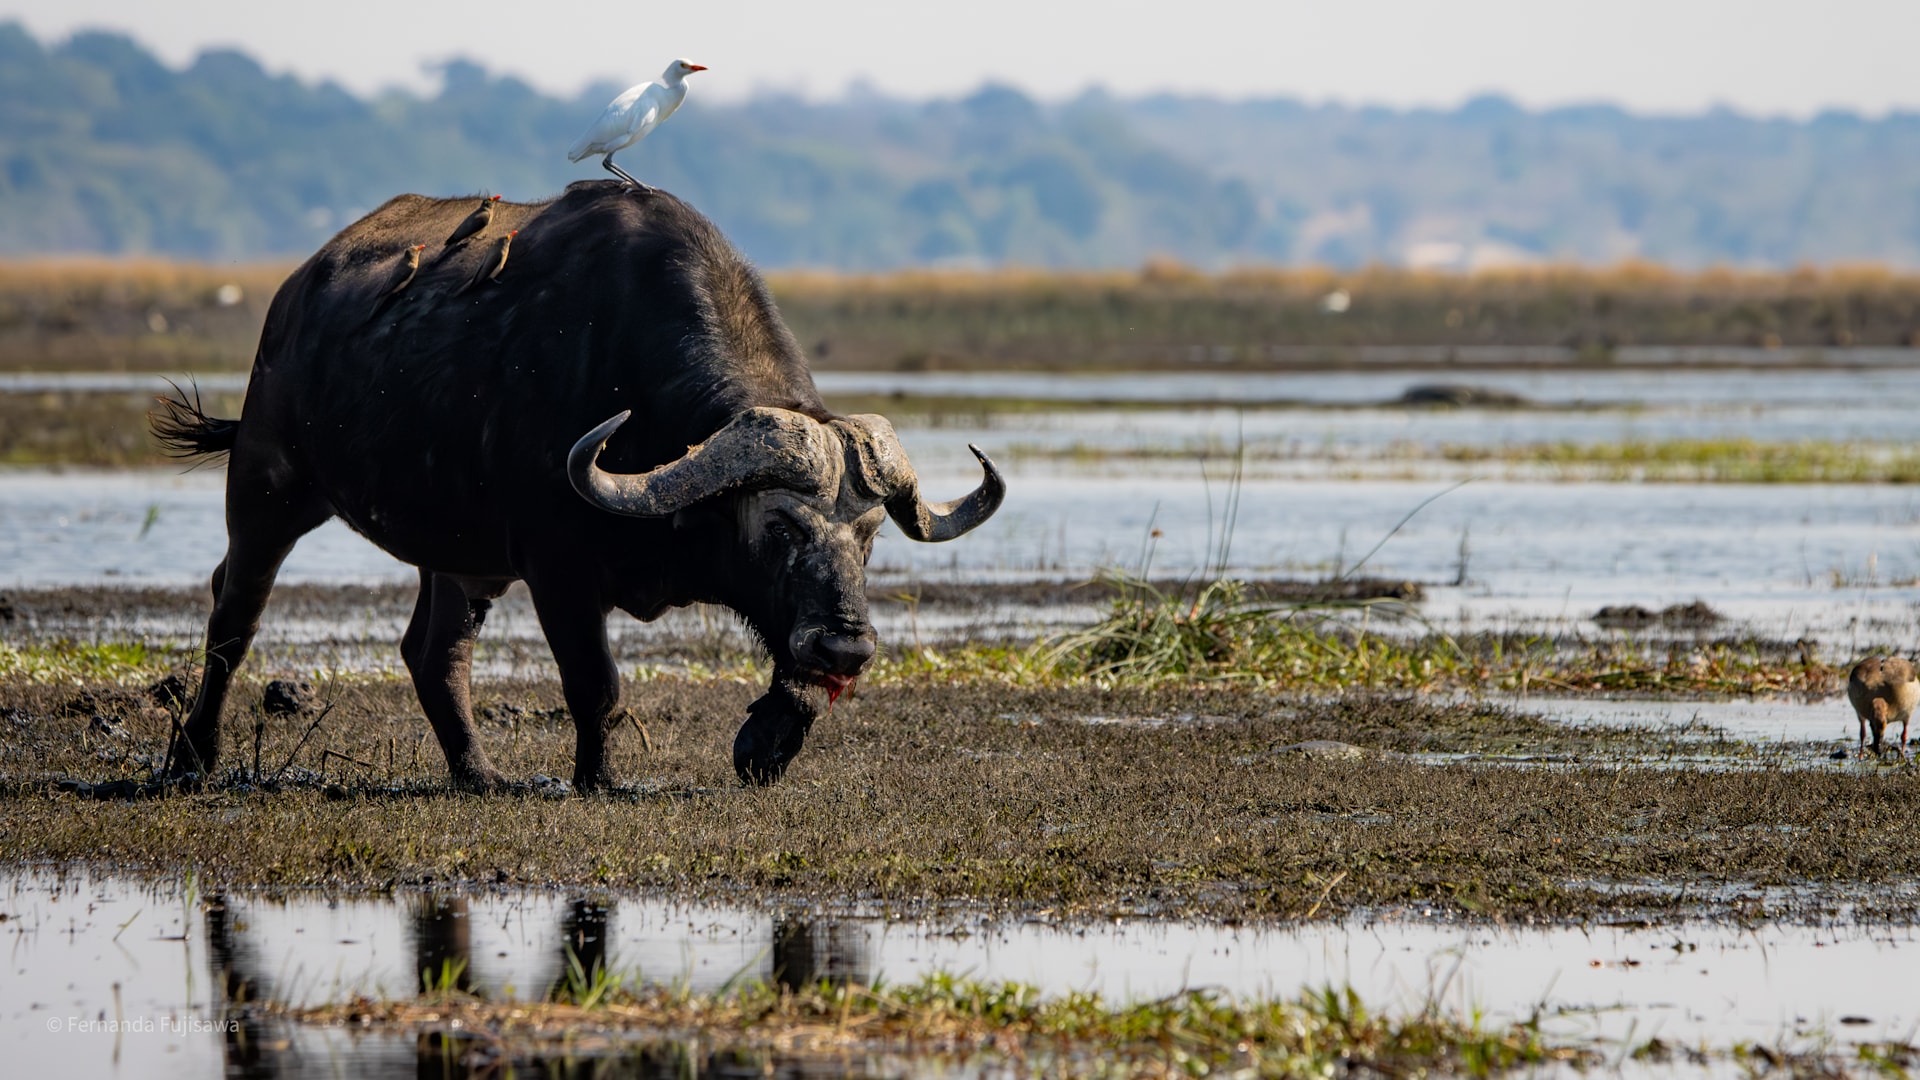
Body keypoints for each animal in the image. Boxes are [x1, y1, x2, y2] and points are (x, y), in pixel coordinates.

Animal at [152, 181, 1003, 791]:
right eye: (782, 527)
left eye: (868, 536)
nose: (848, 643)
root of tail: (296, 296)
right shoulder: (556, 568)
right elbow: (596, 683)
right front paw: (597, 778)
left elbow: (794, 682)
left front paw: (762, 746)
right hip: (267, 489)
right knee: (233, 618)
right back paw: (193, 758)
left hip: (459, 555)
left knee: (433, 652)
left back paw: (479, 774)